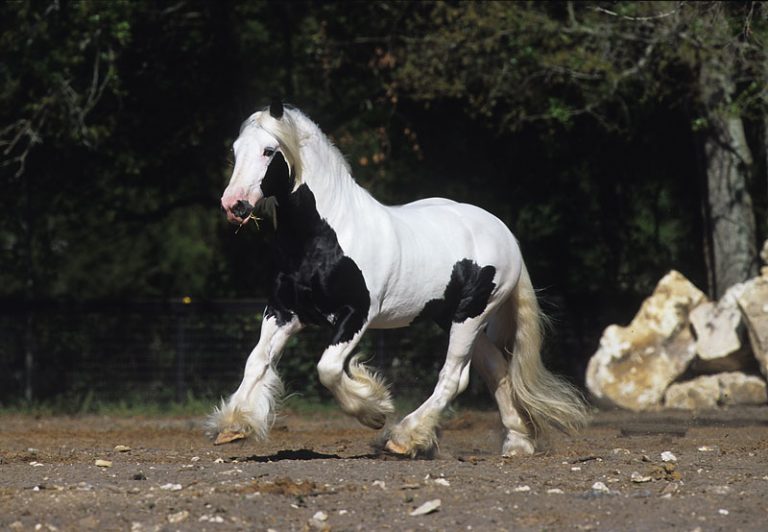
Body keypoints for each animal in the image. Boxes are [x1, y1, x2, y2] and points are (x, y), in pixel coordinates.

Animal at [209, 100, 588, 457]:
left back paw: (404, 438)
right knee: (497, 369)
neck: (327, 235)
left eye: (268, 151)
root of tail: (506, 235)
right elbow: (256, 361)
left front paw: (374, 409)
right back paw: (517, 443)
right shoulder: (284, 313)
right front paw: (234, 425)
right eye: (235, 150)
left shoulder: (356, 315)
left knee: (454, 378)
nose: (234, 205)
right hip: (451, 318)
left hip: (471, 317)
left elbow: (328, 368)